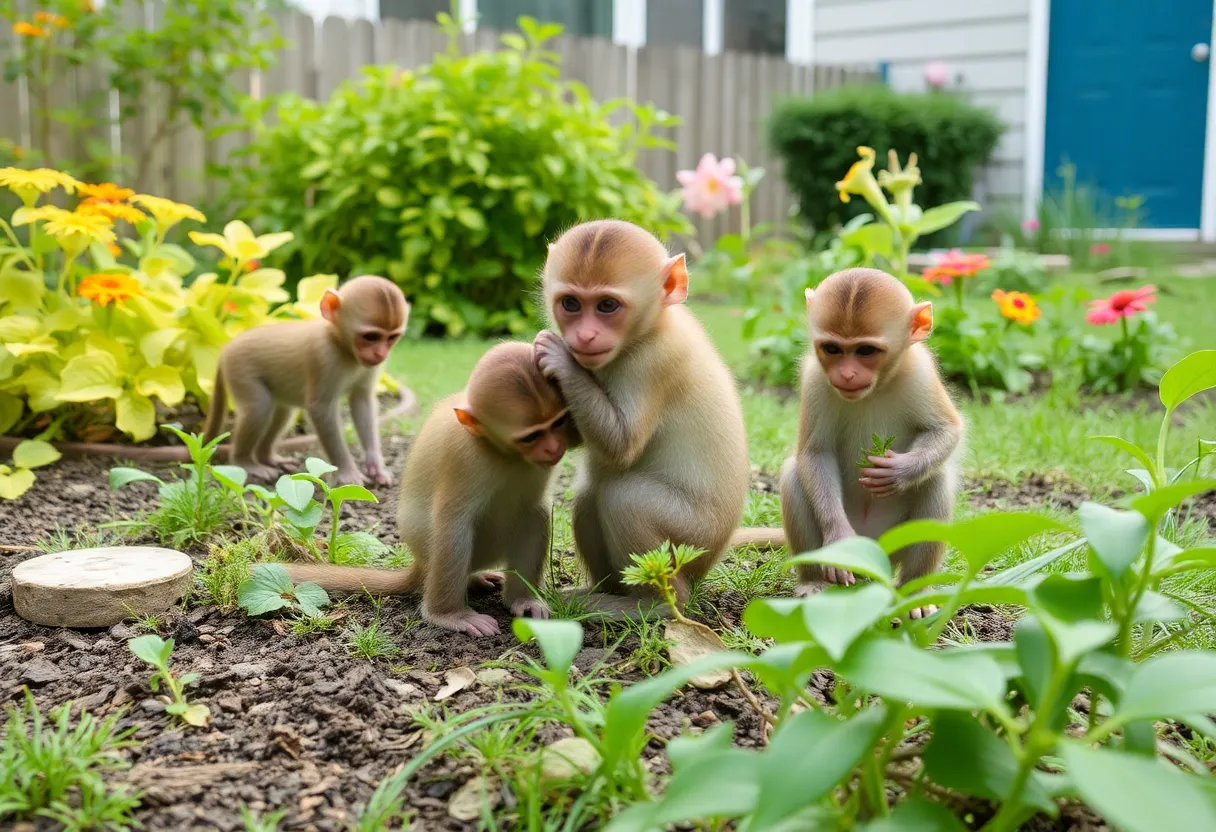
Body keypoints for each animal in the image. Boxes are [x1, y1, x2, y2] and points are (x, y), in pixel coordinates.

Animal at [200, 276, 408, 484]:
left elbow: (362, 402)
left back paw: (266, 457)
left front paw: (376, 465)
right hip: (240, 370)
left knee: (283, 412)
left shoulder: (369, 368)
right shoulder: (324, 357)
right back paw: (245, 462)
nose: (381, 354)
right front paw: (347, 471)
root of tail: (226, 349)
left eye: (391, 338)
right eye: (371, 336)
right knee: (259, 407)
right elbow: (320, 409)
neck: (341, 345)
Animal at [284, 340, 573, 632]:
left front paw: (525, 600)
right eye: (531, 437)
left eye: (558, 422)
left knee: (532, 514)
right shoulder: (465, 456)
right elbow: (453, 521)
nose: (553, 448)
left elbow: (534, 509)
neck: (500, 451)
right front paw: (450, 615)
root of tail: (422, 563)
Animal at [535, 217, 749, 608]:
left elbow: (622, 446)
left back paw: (652, 605)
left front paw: (560, 360)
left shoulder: (654, 362)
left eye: (607, 305)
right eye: (571, 303)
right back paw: (602, 590)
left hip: (693, 538)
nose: (584, 337)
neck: (651, 328)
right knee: (590, 494)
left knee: (624, 498)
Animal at [778, 266, 967, 617]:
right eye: (832, 349)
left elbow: (946, 429)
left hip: (892, 543)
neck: (878, 386)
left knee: (936, 480)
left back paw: (914, 593)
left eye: (866, 351)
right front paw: (839, 543)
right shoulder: (815, 379)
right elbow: (814, 453)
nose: (847, 375)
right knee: (794, 474)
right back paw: (813, 581)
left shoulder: (921, 371)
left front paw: (899, 472)